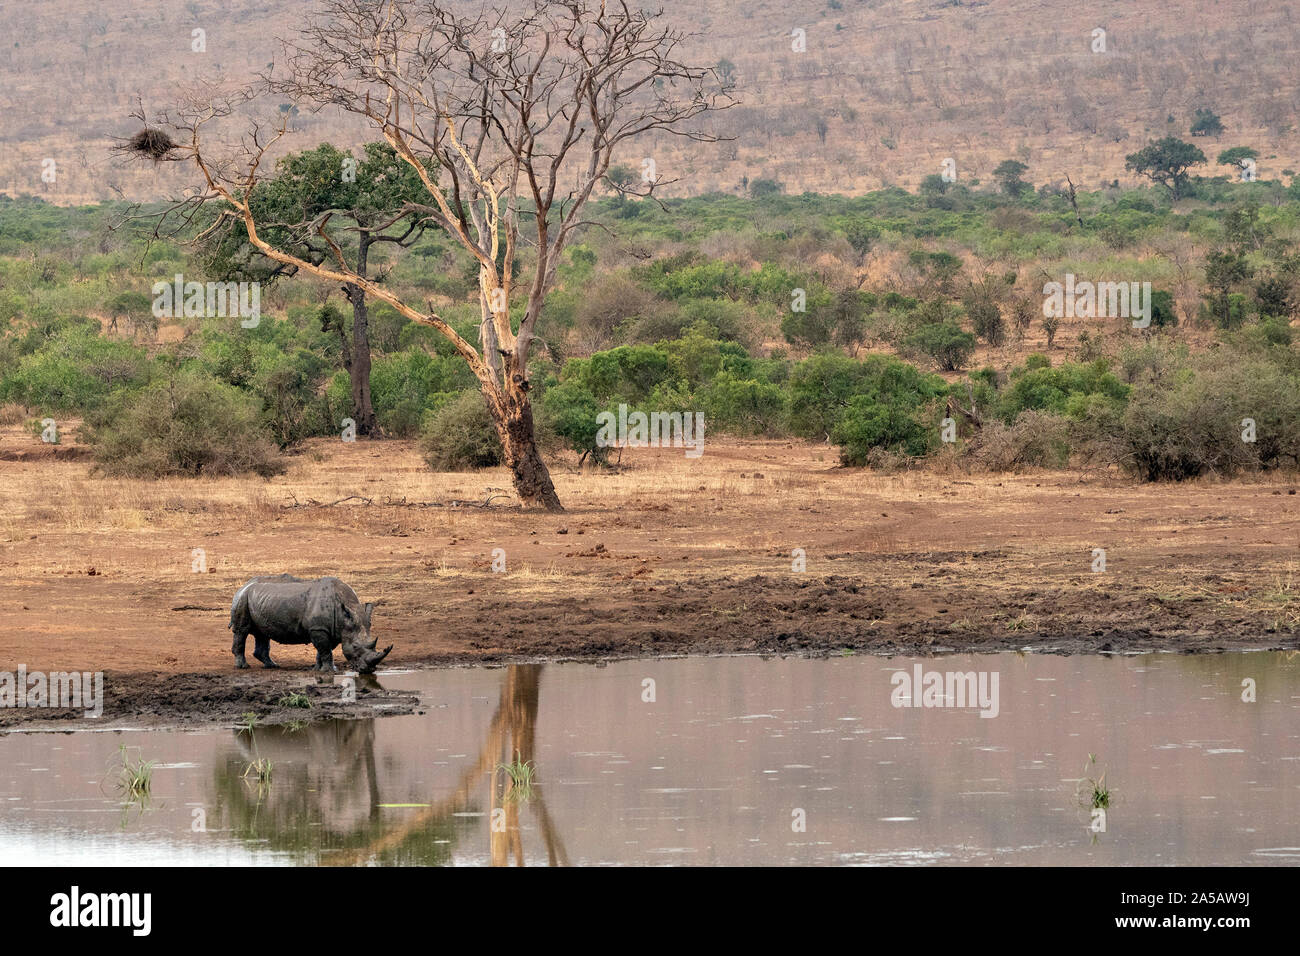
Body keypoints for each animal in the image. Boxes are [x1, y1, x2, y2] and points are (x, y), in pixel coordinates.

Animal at [230, 575, 393, 673]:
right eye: (355, 647)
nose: (369, 670)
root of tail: (244, 585)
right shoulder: (318, 628)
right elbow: (325, 650)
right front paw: (330, 671)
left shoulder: (331, 629)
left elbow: (324, 650)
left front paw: (318, 669)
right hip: (243, 598)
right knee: (242, 631)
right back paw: (243, 667)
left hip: (259, 599)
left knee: (262, 634)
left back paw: (272, 666)